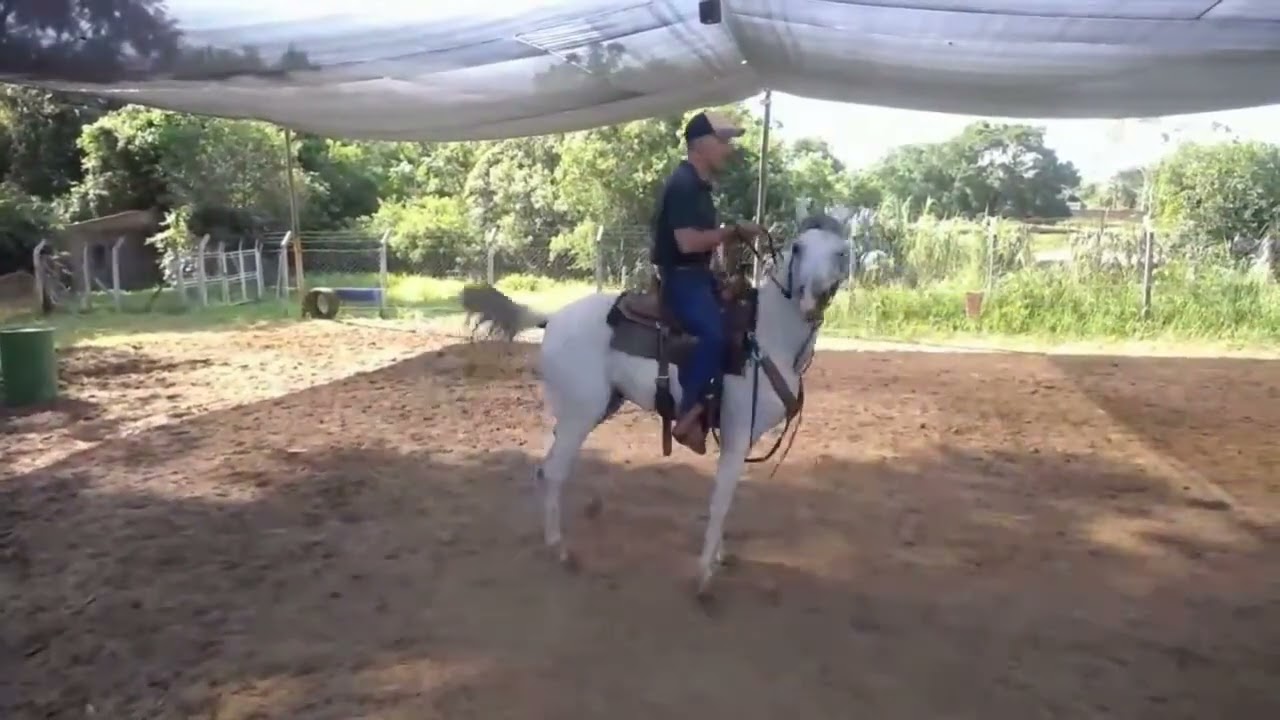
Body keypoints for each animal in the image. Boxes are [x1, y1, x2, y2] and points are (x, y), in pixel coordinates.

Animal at [458, 213, 852, 602]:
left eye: (841, 253)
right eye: (798, 247)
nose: (814, 298)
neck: (766, 336)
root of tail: (551, 318)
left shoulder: (746, 437)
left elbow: (728, 498)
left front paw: (719, 556)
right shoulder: (738, 433)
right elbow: (721, 501)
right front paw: (704, 576)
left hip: (585, 410)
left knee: (545, 468)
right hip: (581, 415)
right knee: (555, 472)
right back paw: (561, 550)